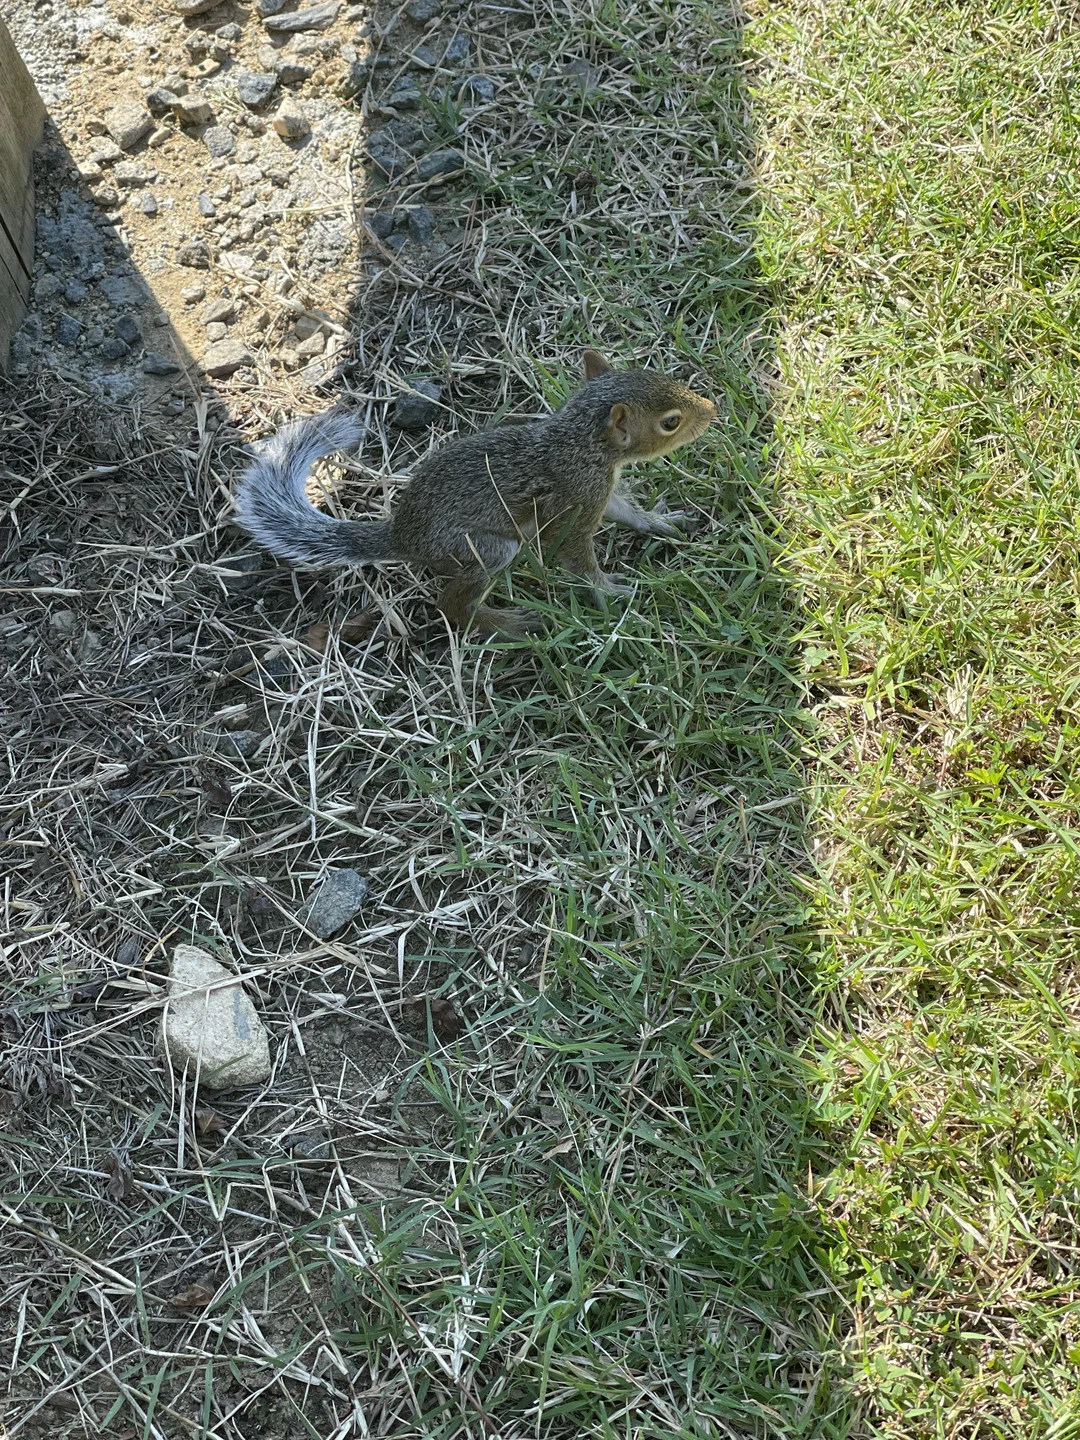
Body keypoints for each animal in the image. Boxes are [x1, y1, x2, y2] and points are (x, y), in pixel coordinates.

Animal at [233, 349, 717, 637]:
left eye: (657, 374)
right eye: (670, 422)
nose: (712, 410)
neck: (581, 442)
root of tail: (402, 537)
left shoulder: (600, 491)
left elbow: (628, 513)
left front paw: (663, 522)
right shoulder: (574, 500)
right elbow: (575, 557)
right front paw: (609, 591)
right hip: (486, 549)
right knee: (450, 606)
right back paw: (509, 624)